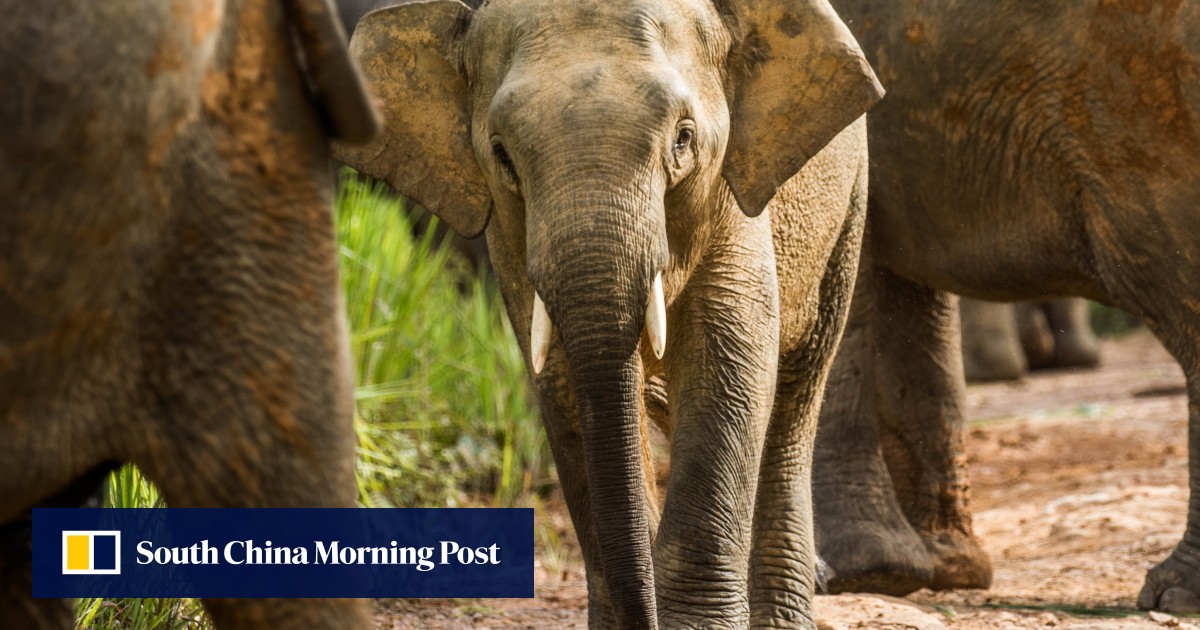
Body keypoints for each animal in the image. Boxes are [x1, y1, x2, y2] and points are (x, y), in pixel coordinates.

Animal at [334, 0, 882, 626]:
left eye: (684, 139)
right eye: (501, 155)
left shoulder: (734, 192)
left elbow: (728, 366)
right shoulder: (510, 236)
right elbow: (564, 386)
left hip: (849, 206)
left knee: (795, 399)